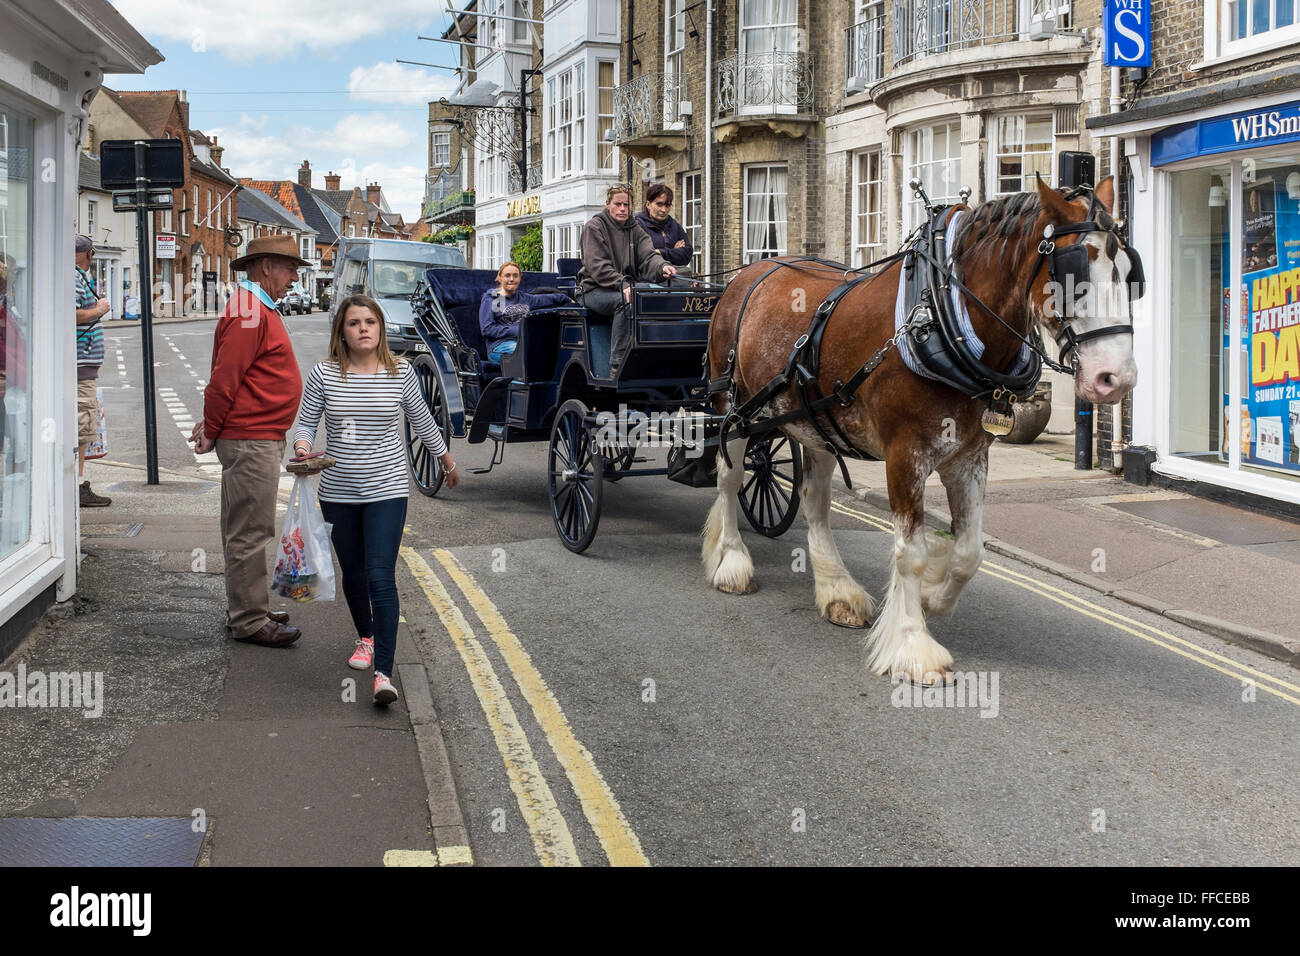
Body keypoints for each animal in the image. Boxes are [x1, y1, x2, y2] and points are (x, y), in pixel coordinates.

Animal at [702, 177, 1139, 684]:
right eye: (1074, 272)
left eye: (1129, 273)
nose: (1117, 379)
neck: (943, 320)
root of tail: (750, 272)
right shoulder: (904, 453)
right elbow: (910, 551)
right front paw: (913, 644)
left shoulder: (969, 456)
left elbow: (969, 551)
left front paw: (932, 596)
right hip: (733, 407)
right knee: (729, 478)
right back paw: (731, 561)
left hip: (815, 422)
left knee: (813, 501)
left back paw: (837, 590)